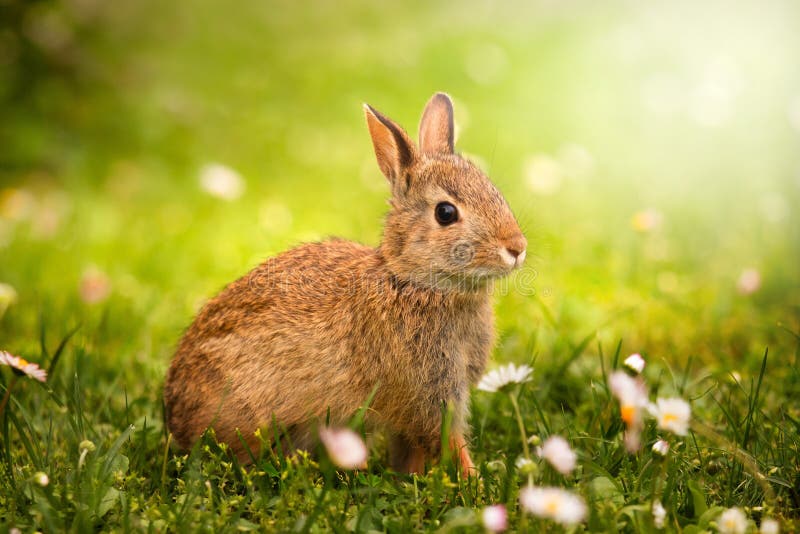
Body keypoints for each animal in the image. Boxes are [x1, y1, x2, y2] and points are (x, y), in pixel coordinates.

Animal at [163, 93, 527, 475]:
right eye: (446, 213)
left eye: (493, 191)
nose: (517, 248)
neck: (413, 283)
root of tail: (175, 419)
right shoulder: (428, 392)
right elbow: (446, 441)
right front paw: (473, 480)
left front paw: (412, 477)